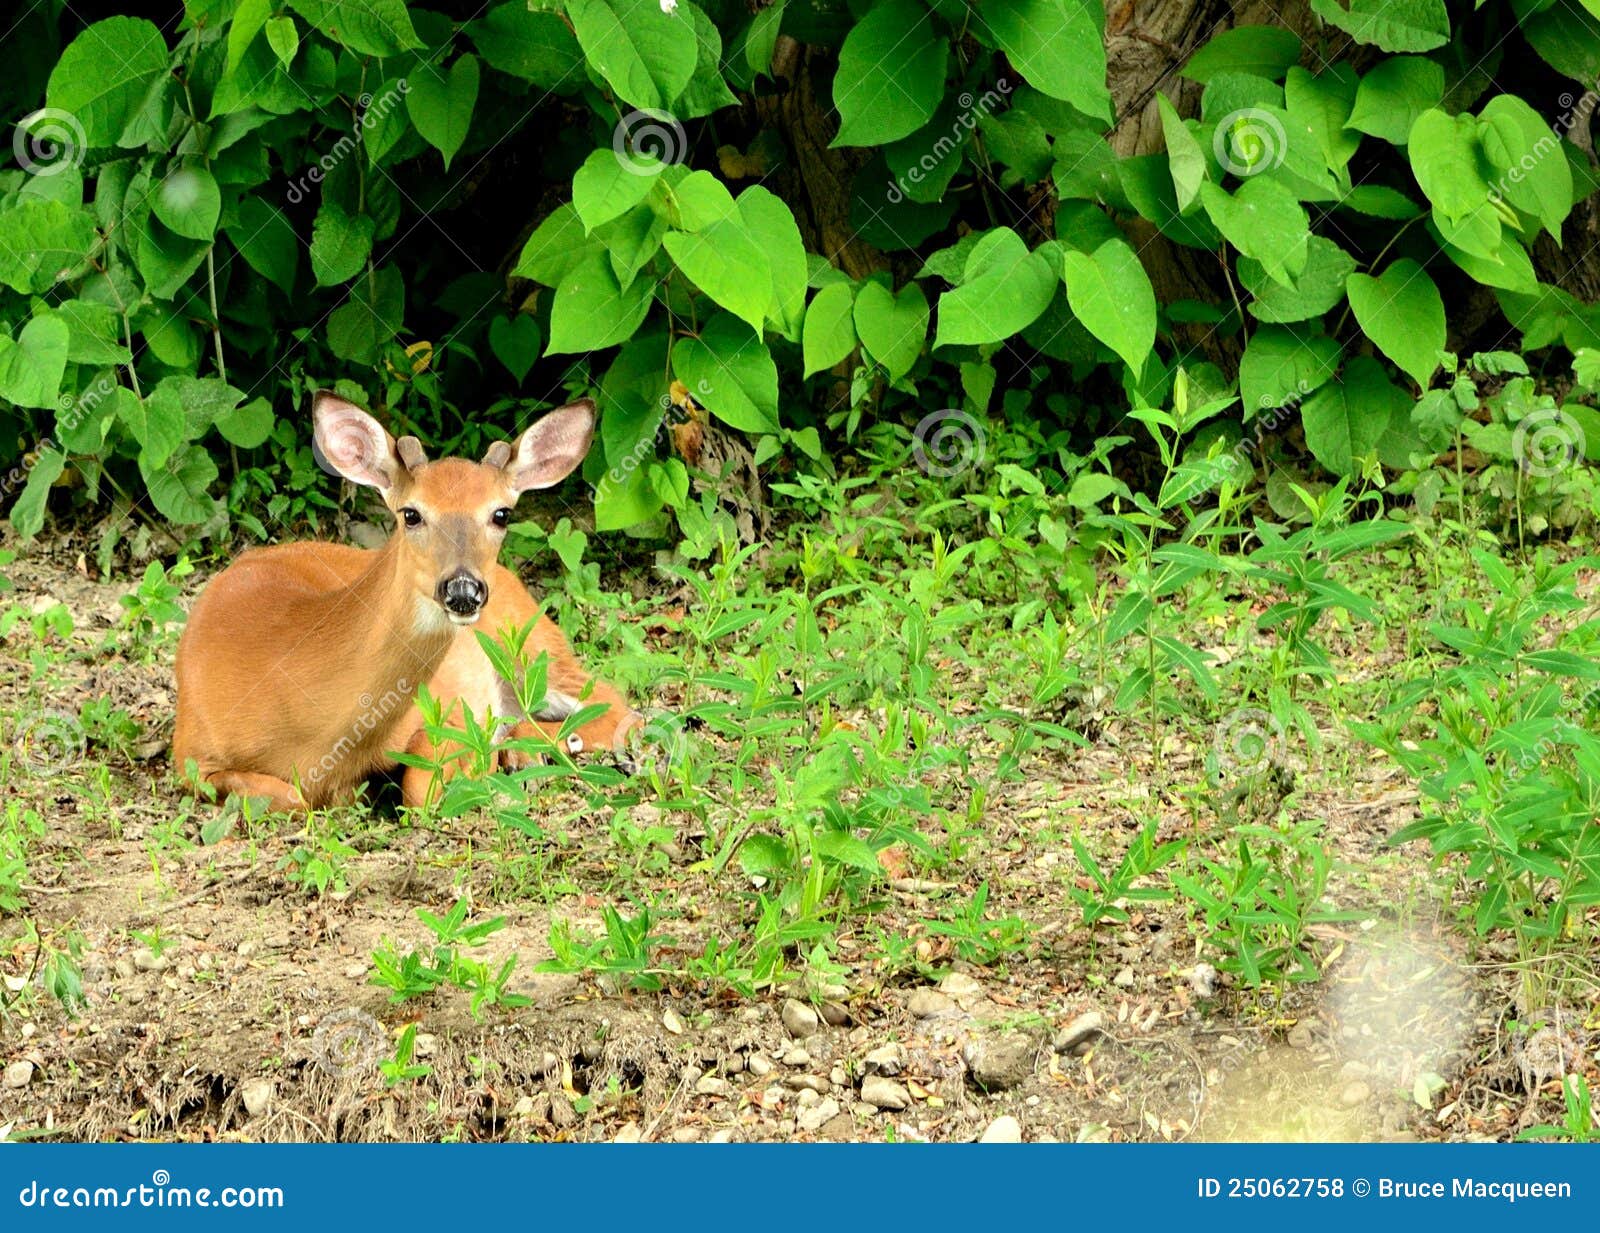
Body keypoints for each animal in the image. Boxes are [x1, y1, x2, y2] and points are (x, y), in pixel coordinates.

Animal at [172, 390, 641, 812]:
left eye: (501, 514)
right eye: (411, 514)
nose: (463, 590)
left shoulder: (442, 709)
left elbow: (417, 787)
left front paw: (486, 764)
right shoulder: (189, 752)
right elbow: (287, 797)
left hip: (531, 641)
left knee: (618, 707)